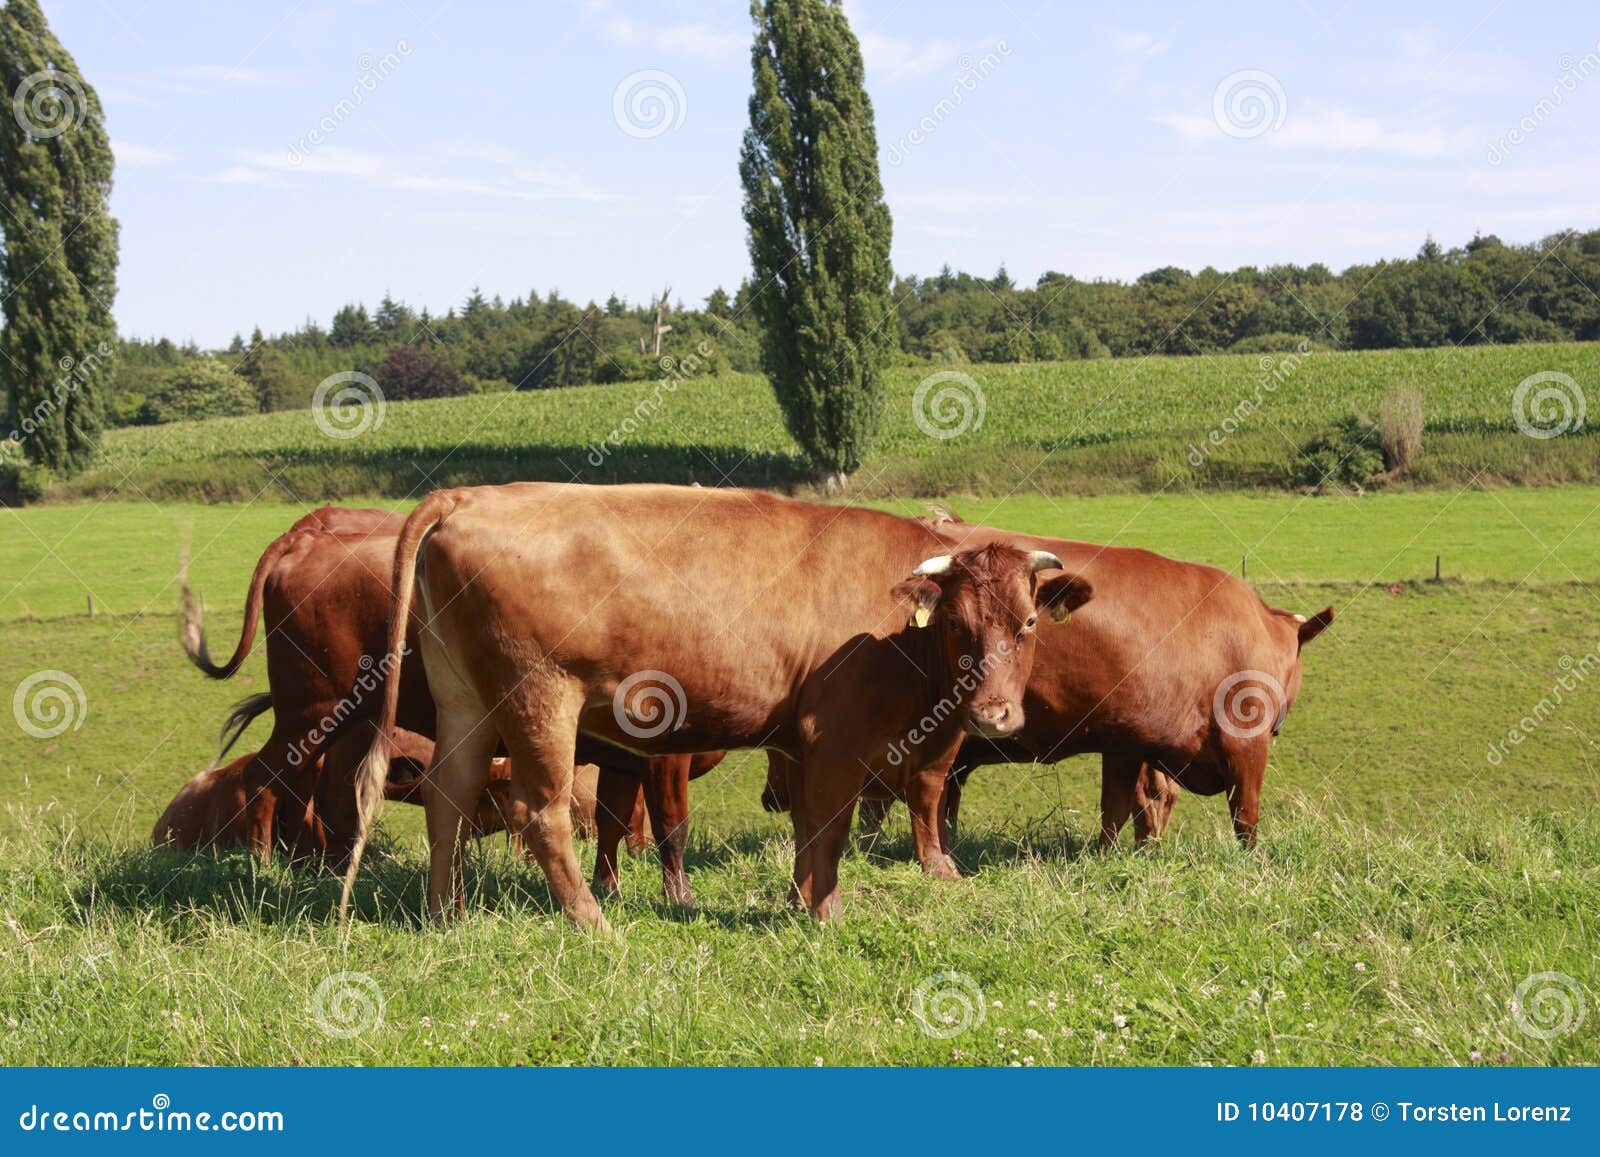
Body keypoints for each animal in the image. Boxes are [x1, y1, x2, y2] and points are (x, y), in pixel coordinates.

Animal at [340, 483, 1093, 930]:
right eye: (960, 626)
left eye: (1029, 622)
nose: (996, 716)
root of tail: (472, 495)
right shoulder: (837, 735)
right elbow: (831, 826)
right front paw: (825, 913)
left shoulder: (799, 742)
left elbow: (808, 827)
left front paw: (799, 899)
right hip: (538, 695)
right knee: (540, 811)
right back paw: (592, 923)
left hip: (465, 697)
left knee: (449, 795)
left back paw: (447, 914)